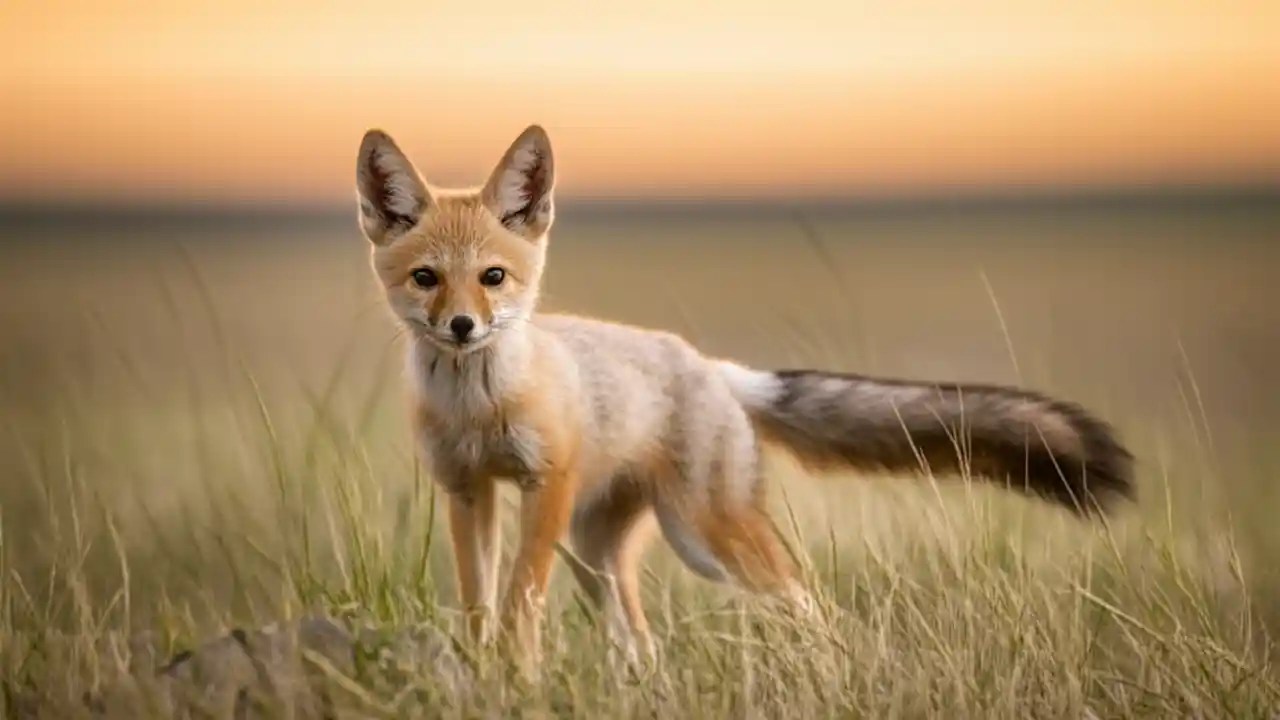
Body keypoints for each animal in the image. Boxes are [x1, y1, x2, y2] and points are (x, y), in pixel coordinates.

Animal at [354, 124, 1135, 667]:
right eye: (426, 279)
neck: (479, 407)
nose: (461, 327)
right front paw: (492, 674)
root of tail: (713, 365)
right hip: (598, 550)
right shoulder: (468, 491)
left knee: (809, 605)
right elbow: (479, 605)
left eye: (492, 278)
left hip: (706, 536)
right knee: (643, 644)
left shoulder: (546, 483)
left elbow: (519, 603)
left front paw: (519, 676)